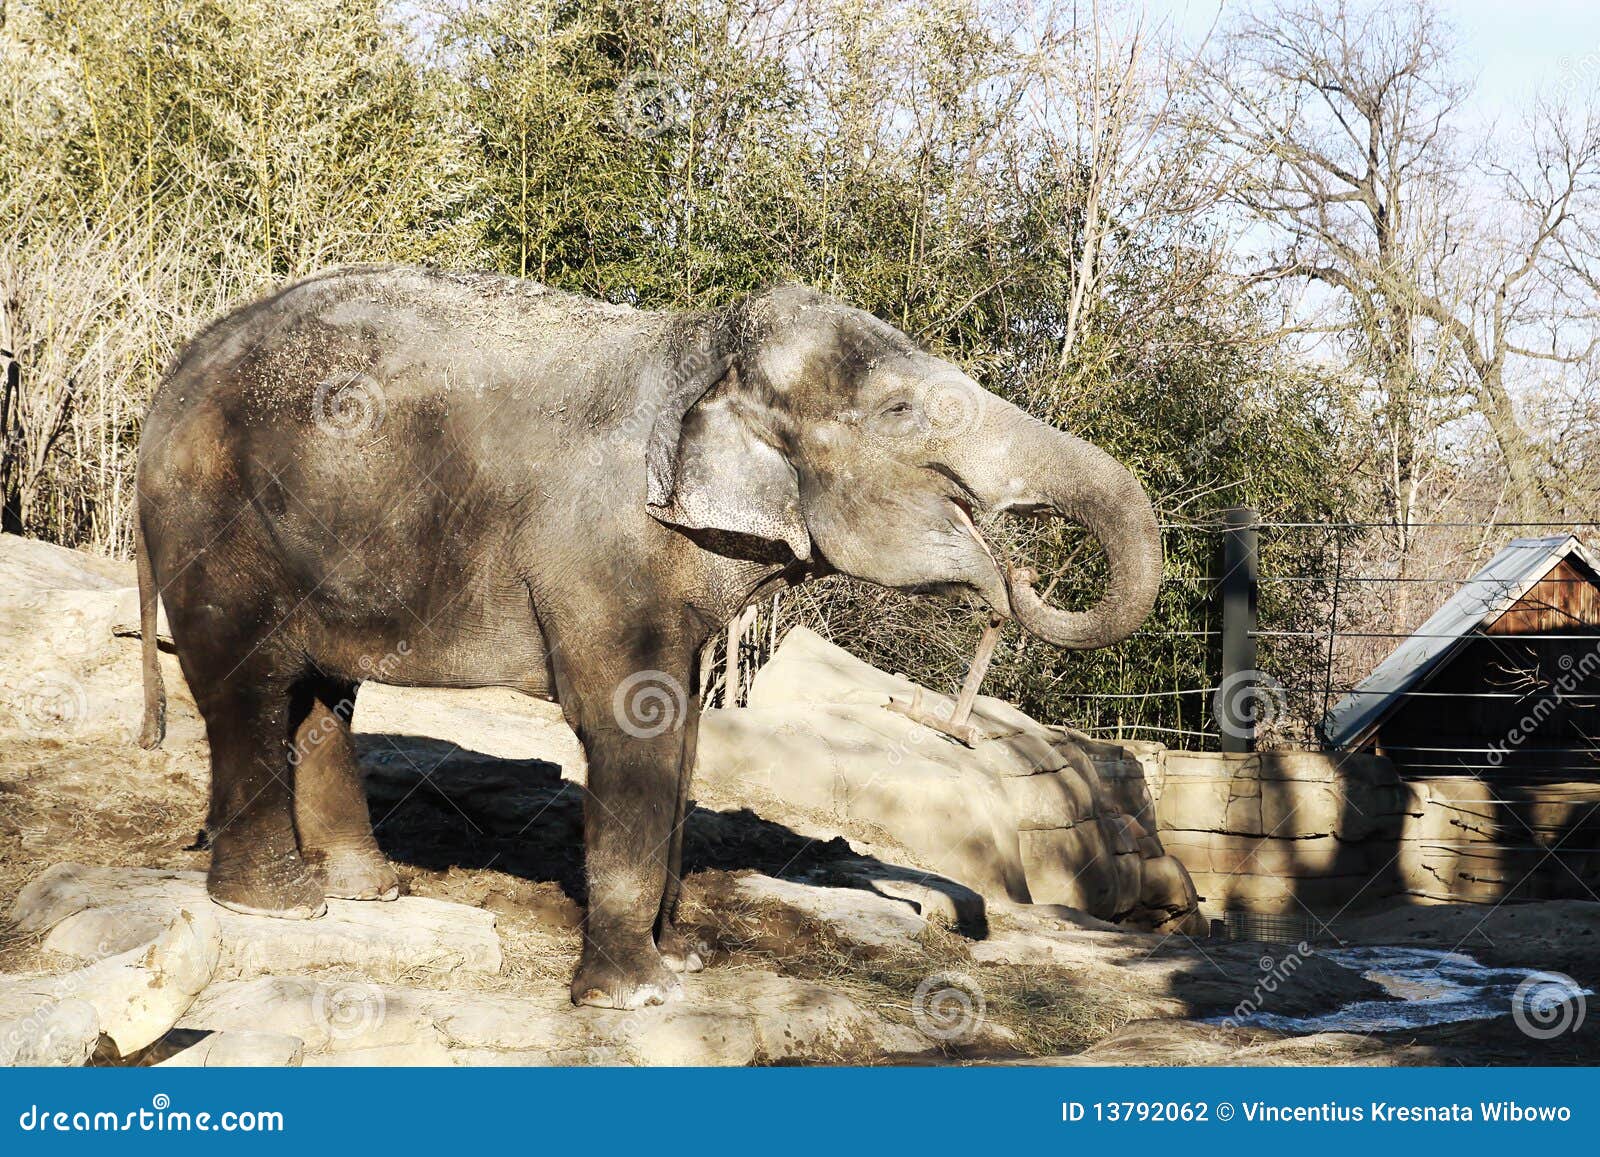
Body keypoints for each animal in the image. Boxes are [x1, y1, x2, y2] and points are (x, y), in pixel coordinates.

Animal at [133, 265, 1162, 1009]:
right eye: (903, 413)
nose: (1018, 578)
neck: (700, 348)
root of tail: (173, 372)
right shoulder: (600, 547)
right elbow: (633, 724)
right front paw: (640, 996)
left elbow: (689, 731)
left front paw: (690, 958)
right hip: (215, 526)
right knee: (251, 685)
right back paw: (280, 903)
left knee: (322, 696)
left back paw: (366, 891)